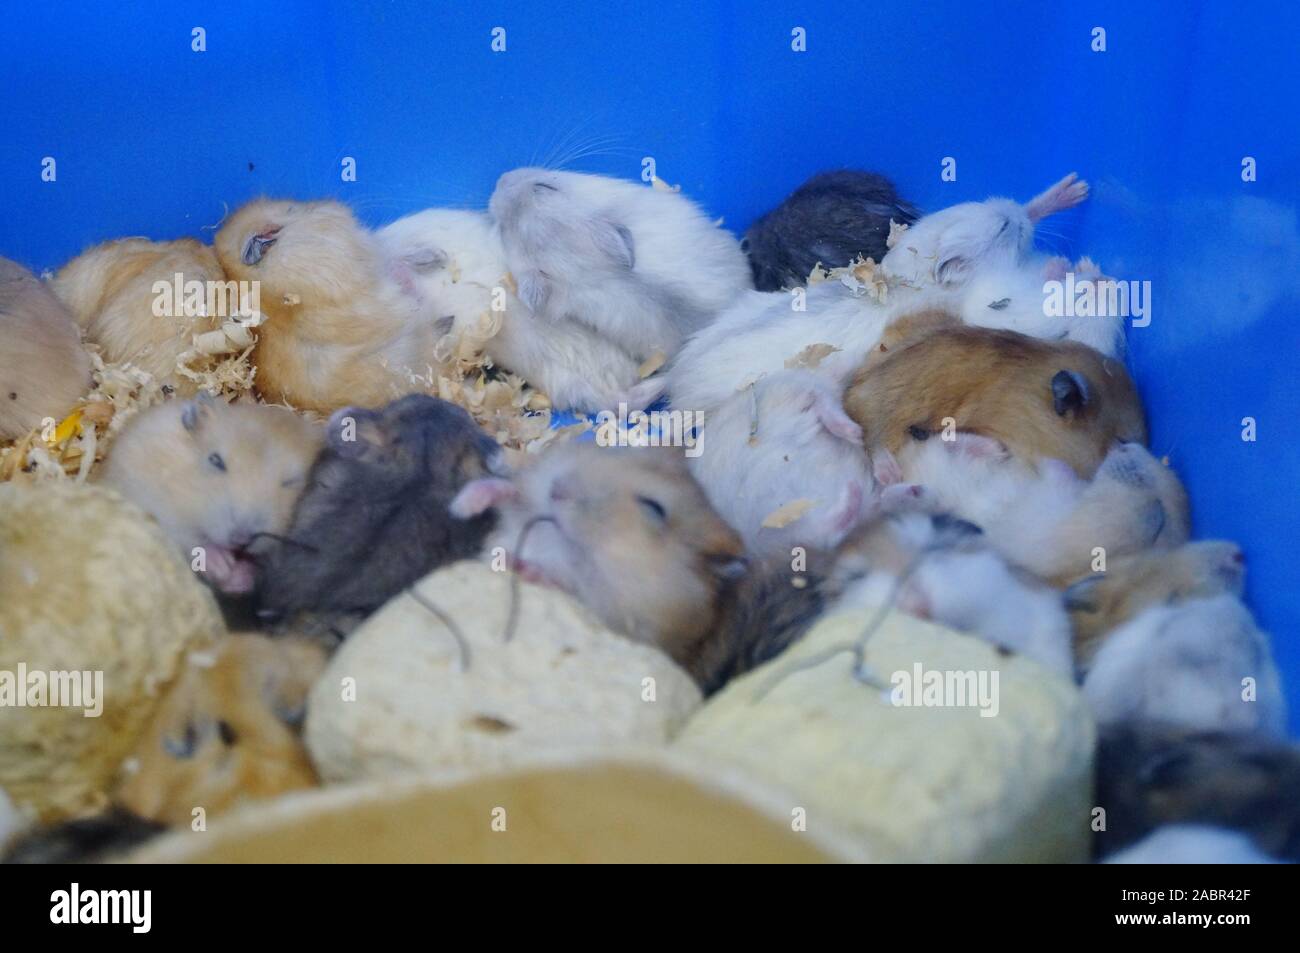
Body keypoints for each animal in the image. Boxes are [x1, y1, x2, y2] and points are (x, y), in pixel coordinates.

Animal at [98, 394, 322, 596]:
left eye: (291, 482)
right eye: (216, 461)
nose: (241, 539)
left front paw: (240, 575)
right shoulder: (154, 500)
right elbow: (186, 538)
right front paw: (223, 567)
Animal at [450, 441, 748, 680]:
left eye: (654, 508)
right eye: (619, 451)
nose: (556, 489)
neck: (562, 542)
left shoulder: (610, 615)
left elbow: (564, 584)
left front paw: (519, 564)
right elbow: (512, 496)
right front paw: (462, 505)